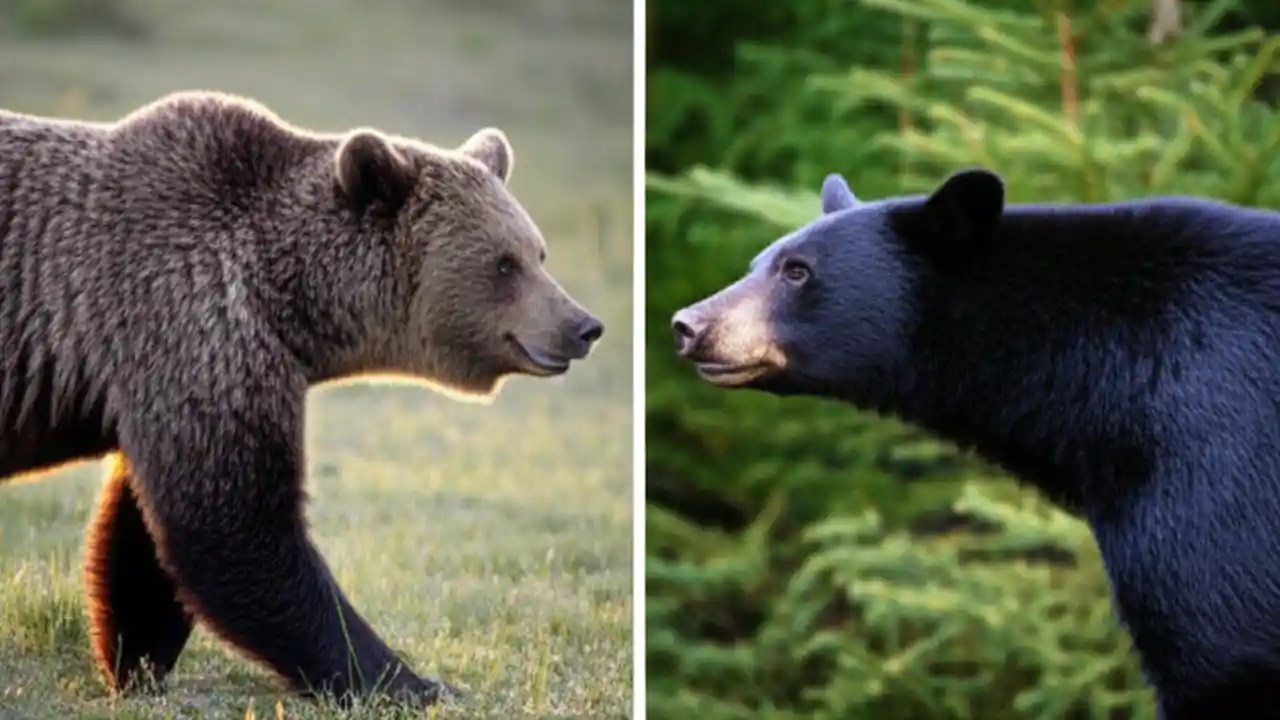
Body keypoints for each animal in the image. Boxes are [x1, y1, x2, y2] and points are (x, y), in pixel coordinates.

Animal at [0, 91, 604, 703]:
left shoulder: (174, 372)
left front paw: (136, 659)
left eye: (539, 254)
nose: (583, 326)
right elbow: (233, 524)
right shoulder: (192, 320)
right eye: (504, 263)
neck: (289, 301)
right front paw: (406, 678)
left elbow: (146, 535)